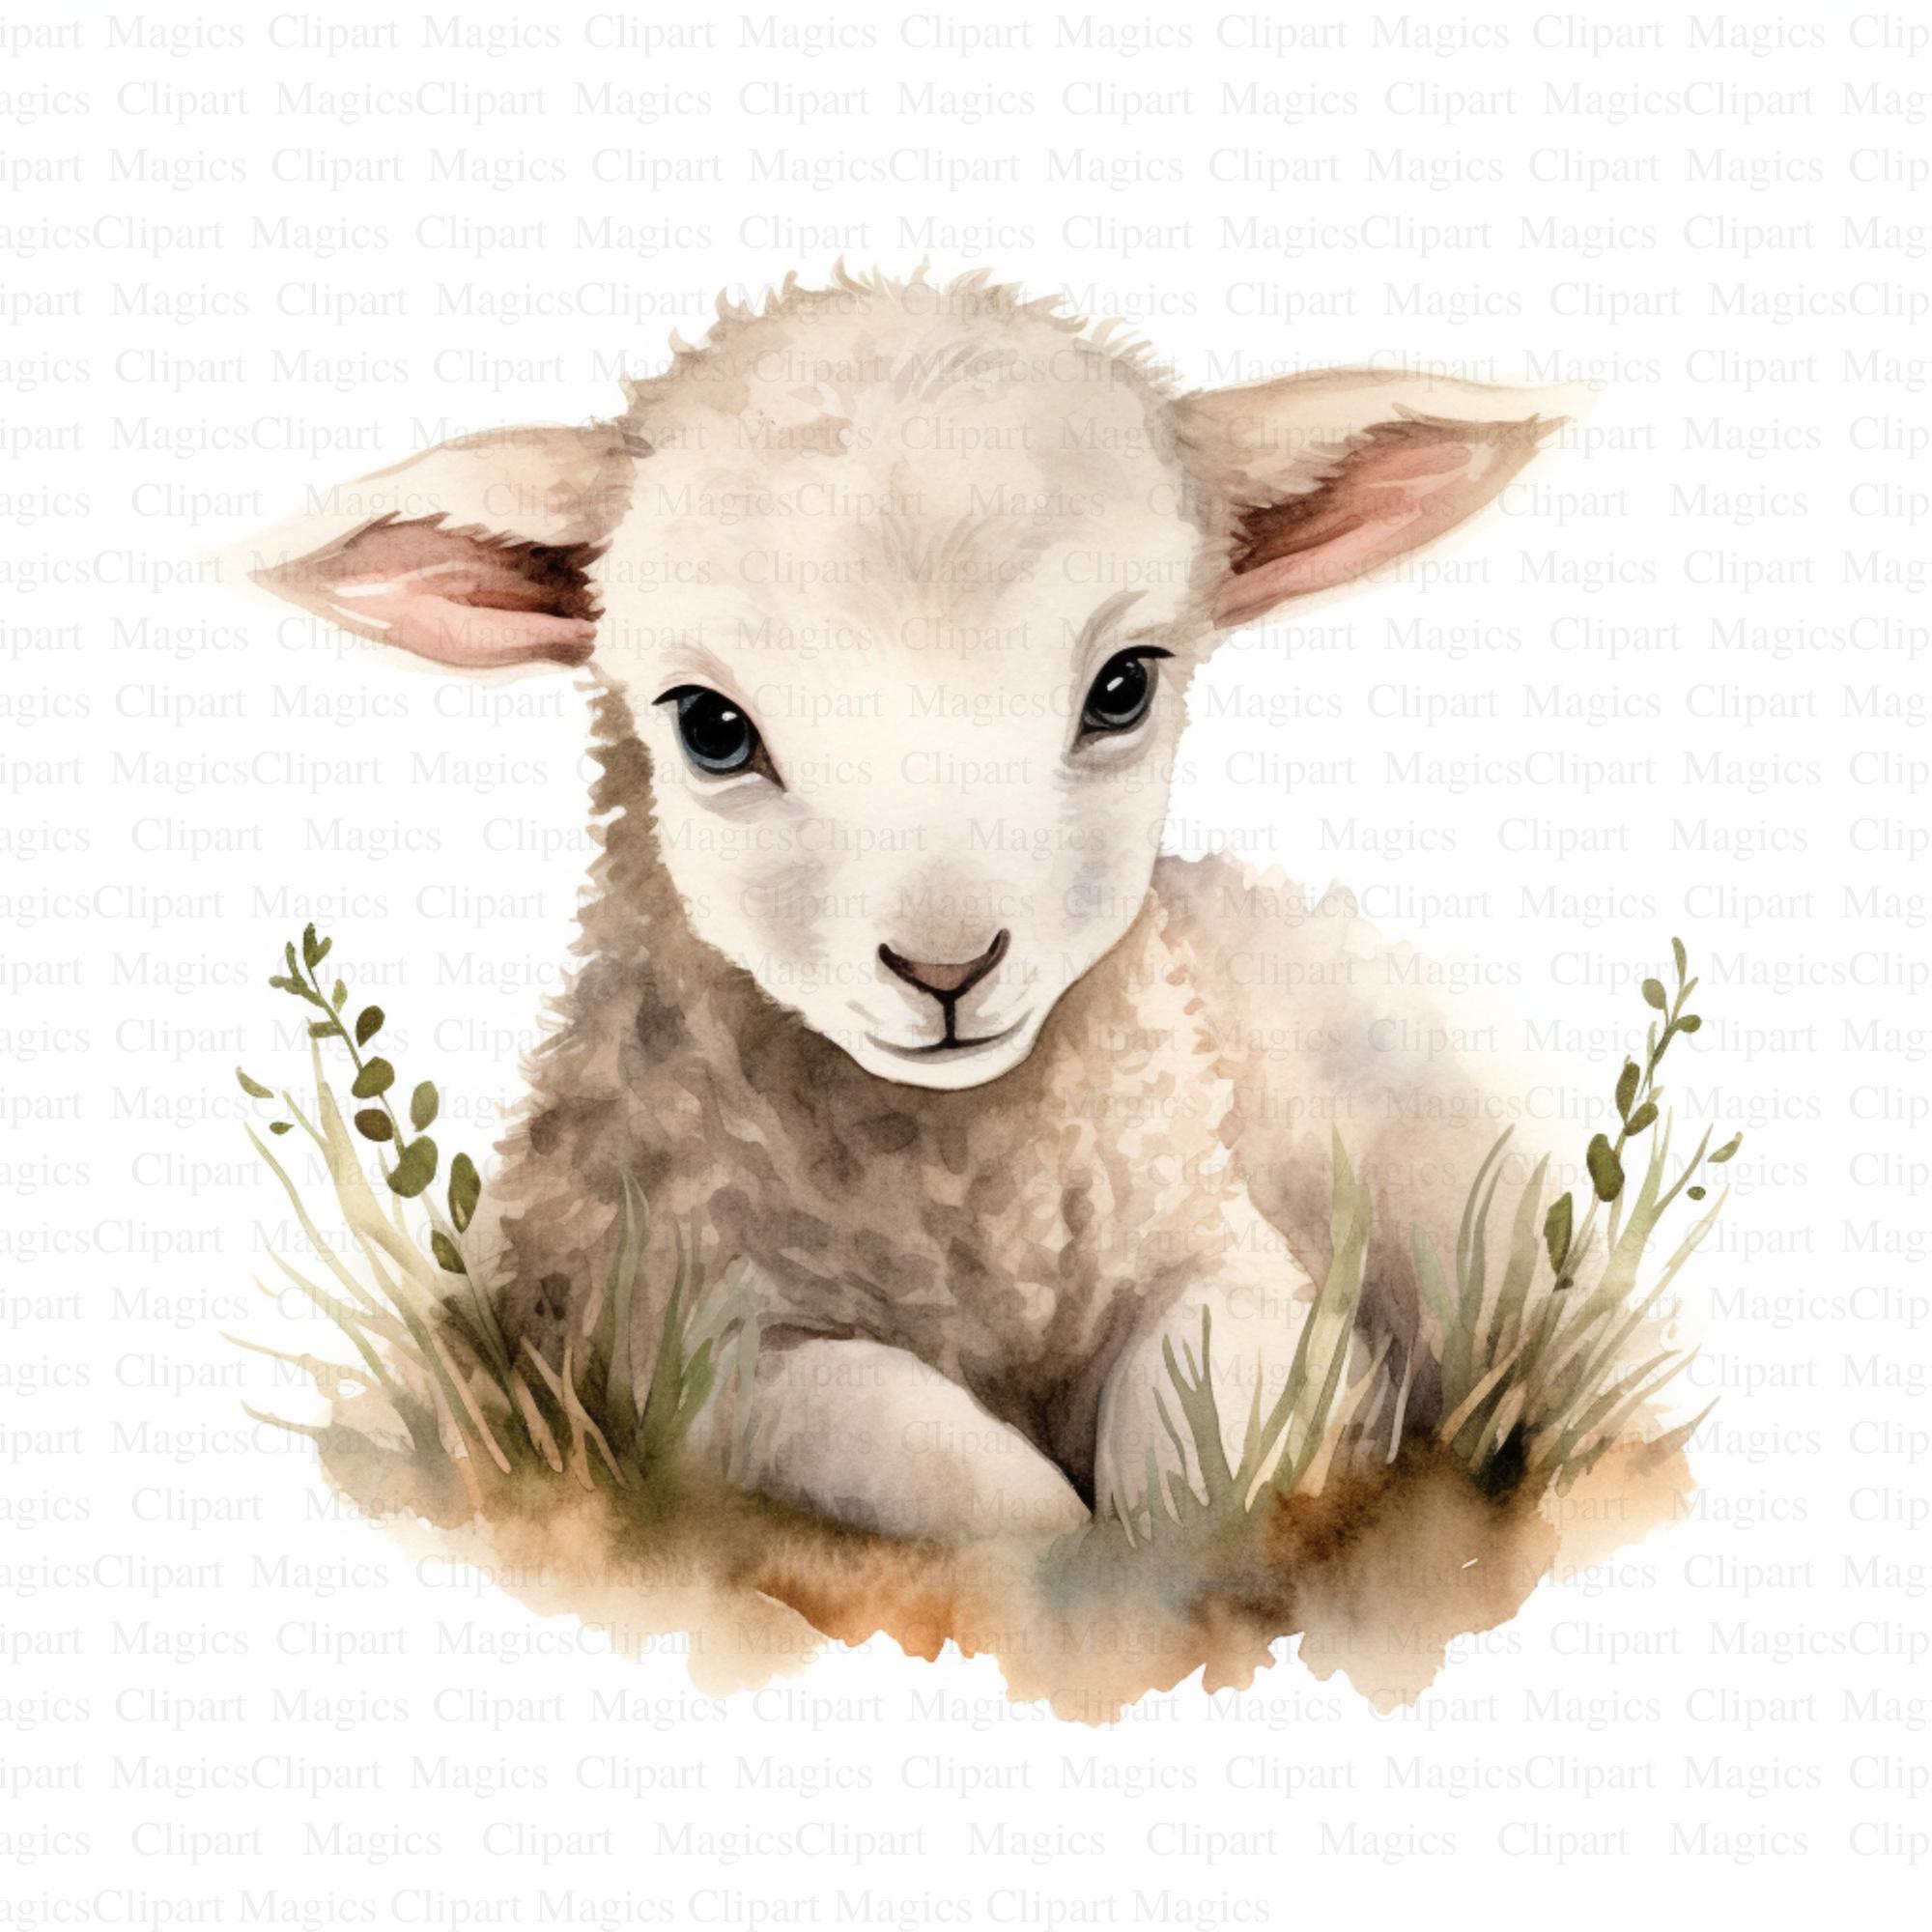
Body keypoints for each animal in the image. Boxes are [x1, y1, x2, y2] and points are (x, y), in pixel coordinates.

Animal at [238, 267, 1575, 1542]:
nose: (945, 968)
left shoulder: (1235, 1262)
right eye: (709, 725)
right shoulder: (670, 1345)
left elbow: (1197, 1450)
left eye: (1124, 686)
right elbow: (935, 1464)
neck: (960, 1225)